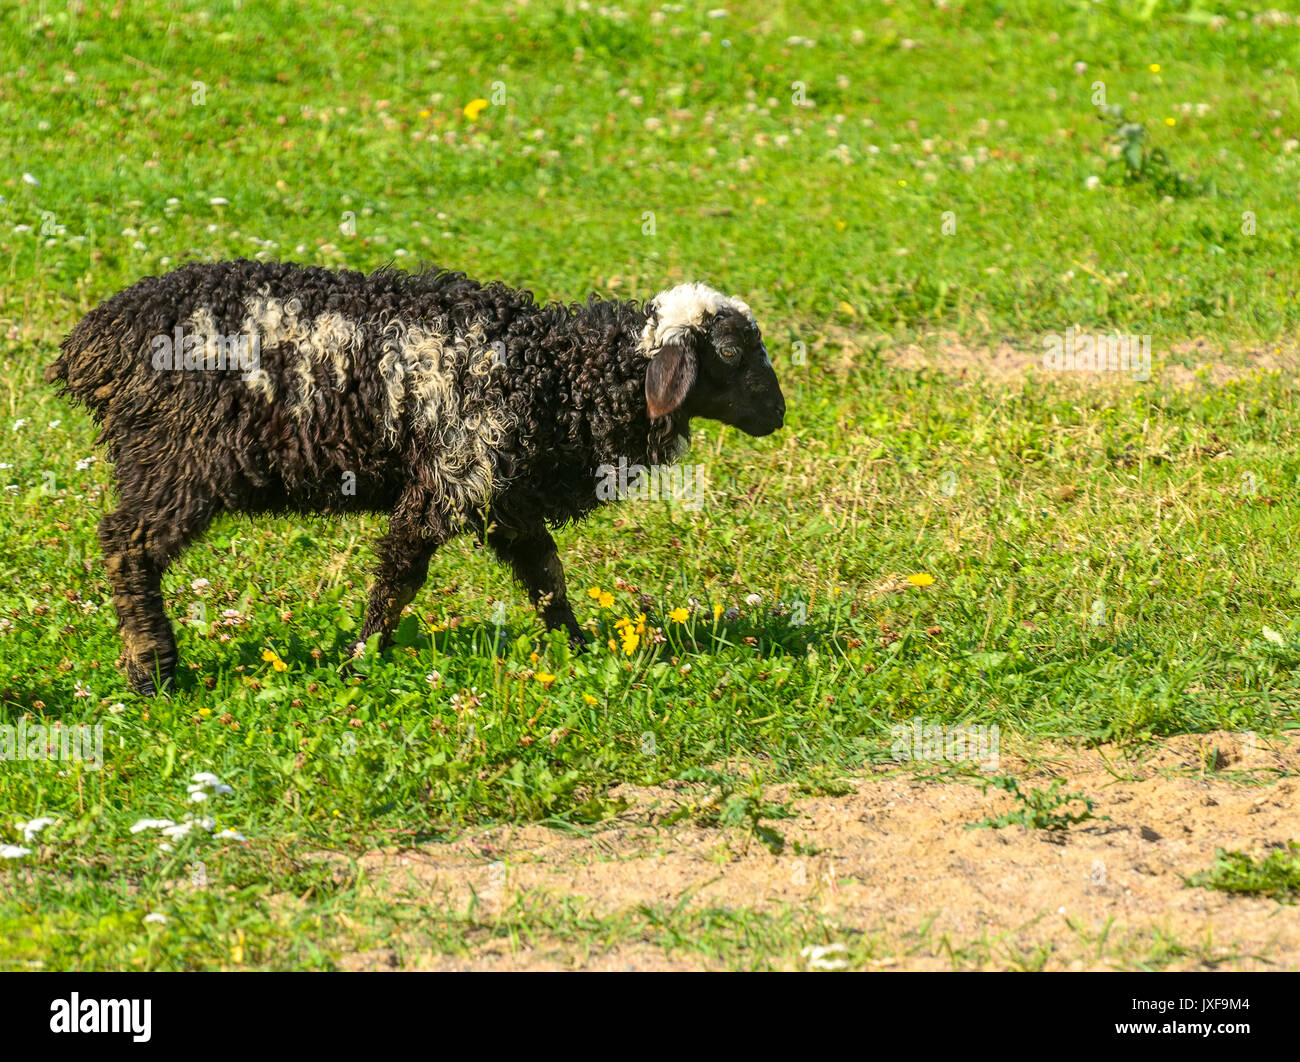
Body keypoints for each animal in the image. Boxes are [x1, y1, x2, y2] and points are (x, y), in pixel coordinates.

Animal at [47, 260, 787, 694]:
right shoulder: (452, 476)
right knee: (128, 546)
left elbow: (546, 577)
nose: (778, 413)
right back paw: (154, 671)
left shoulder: (505, 495)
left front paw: (579, 648)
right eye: (730, 351)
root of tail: (96, 343)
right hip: (181, 461)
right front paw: (360, 660)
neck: (556, 370)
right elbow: (400, 576)